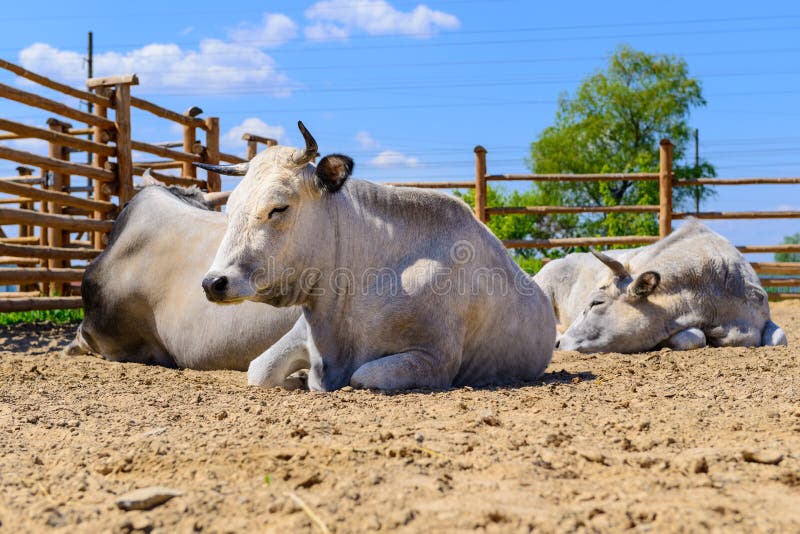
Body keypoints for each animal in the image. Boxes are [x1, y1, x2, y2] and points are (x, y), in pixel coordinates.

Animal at [195, 121, 556, 391]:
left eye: (279, 207)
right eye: (230, 206)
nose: (214, 282)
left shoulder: (434, 358)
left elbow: (363, 375)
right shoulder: (303, 332)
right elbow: (258, 370)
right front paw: (296, 376)